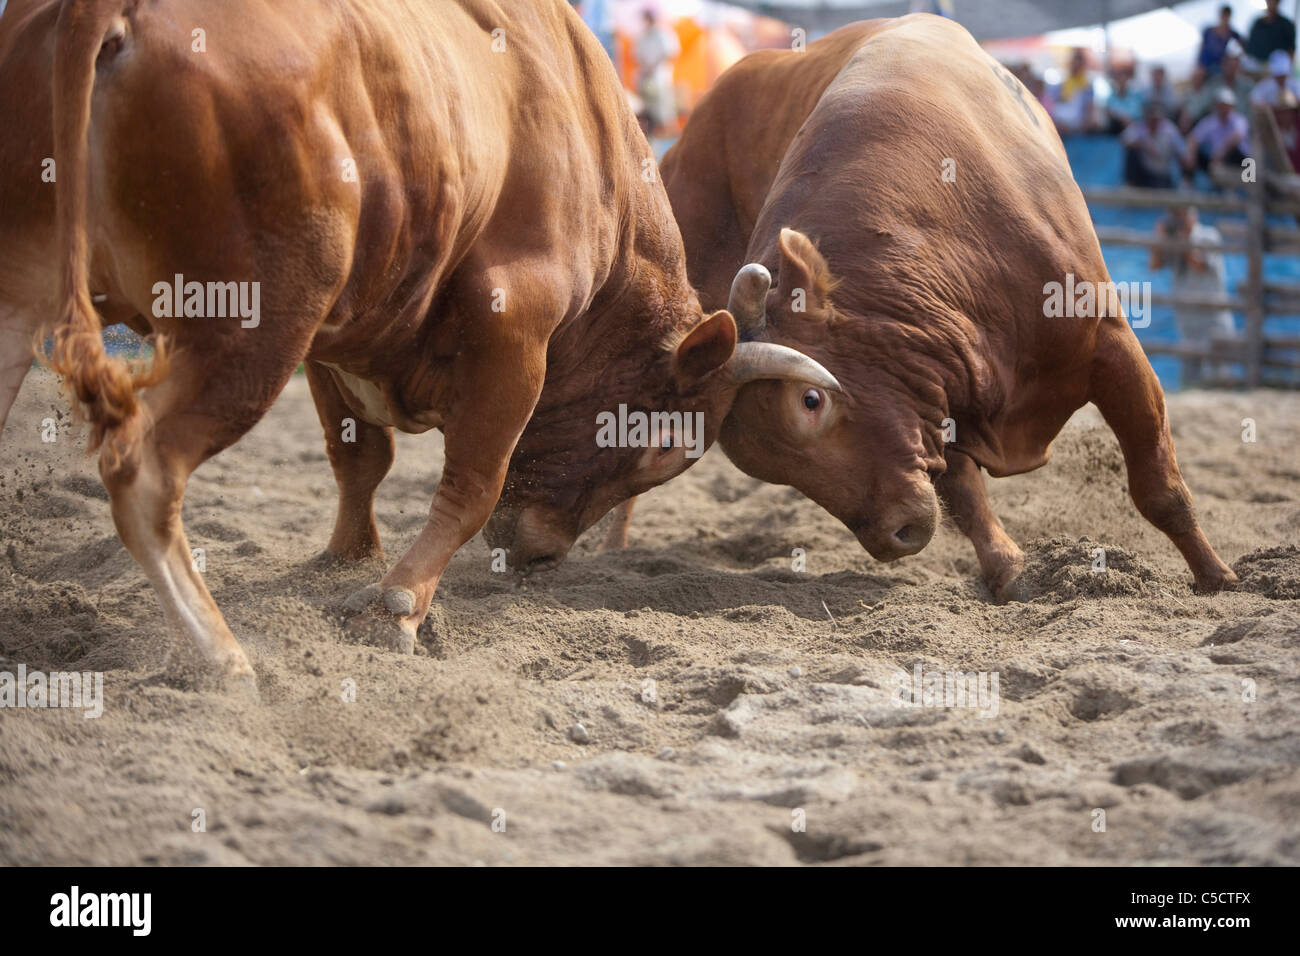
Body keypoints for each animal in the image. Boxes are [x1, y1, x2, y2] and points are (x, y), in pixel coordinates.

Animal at [0, 0, 840, 692]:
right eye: (665, 447)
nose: (539, 557)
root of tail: (110, 10)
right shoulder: (514, 334)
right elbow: (471, 486)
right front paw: (398, 605)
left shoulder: (340, 340)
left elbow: (358, 459)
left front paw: (345, 558)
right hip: (253, 322)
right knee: (145, 473)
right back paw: (222, 656)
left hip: (31, 296)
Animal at [622, 14, 1236, 599]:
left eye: (811, 400)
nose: (894, 536)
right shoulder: (929, 390)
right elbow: (962, 493)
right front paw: (1010, 571)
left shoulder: (1109, 344)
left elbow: (1159, 487)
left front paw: (1217, 576)